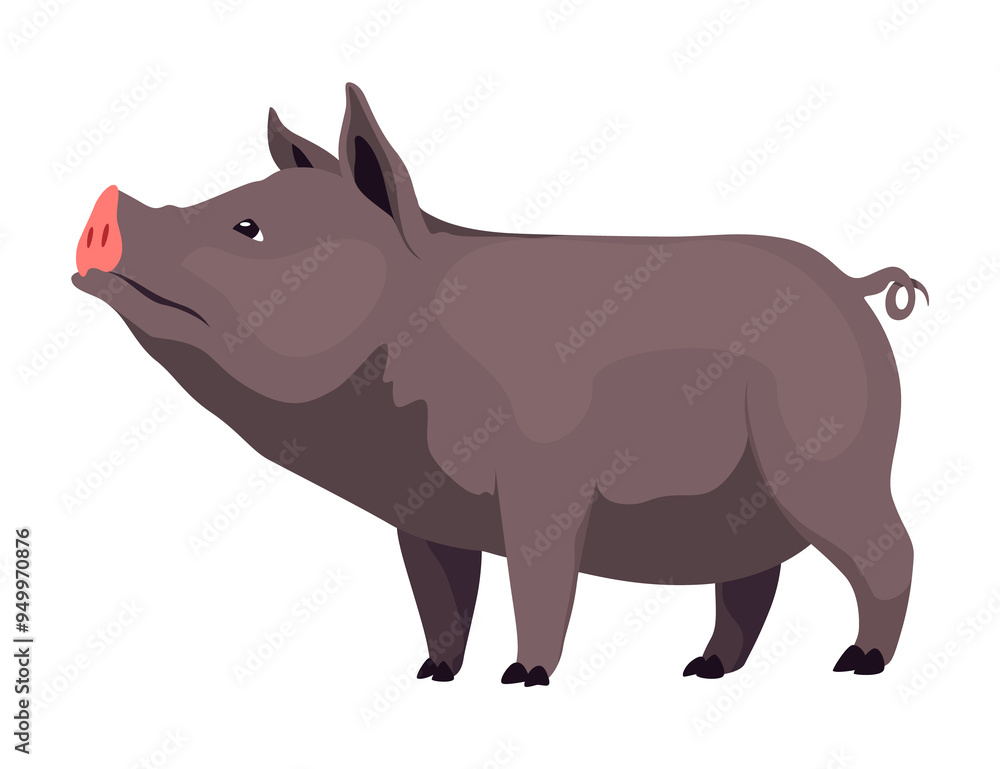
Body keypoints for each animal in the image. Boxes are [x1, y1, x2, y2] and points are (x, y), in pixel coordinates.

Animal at [73, 83, 928, 685]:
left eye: (248, 227)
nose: (103, 209)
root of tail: (855, 288)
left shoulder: (546, 478)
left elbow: (538, 578)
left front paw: (523, 678)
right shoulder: (423, 511)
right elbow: (442, 594)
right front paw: (432, 675)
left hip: (830, 454)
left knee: (892, 548)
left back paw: (859, 663)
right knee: (753, 581)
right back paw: (701, 669)